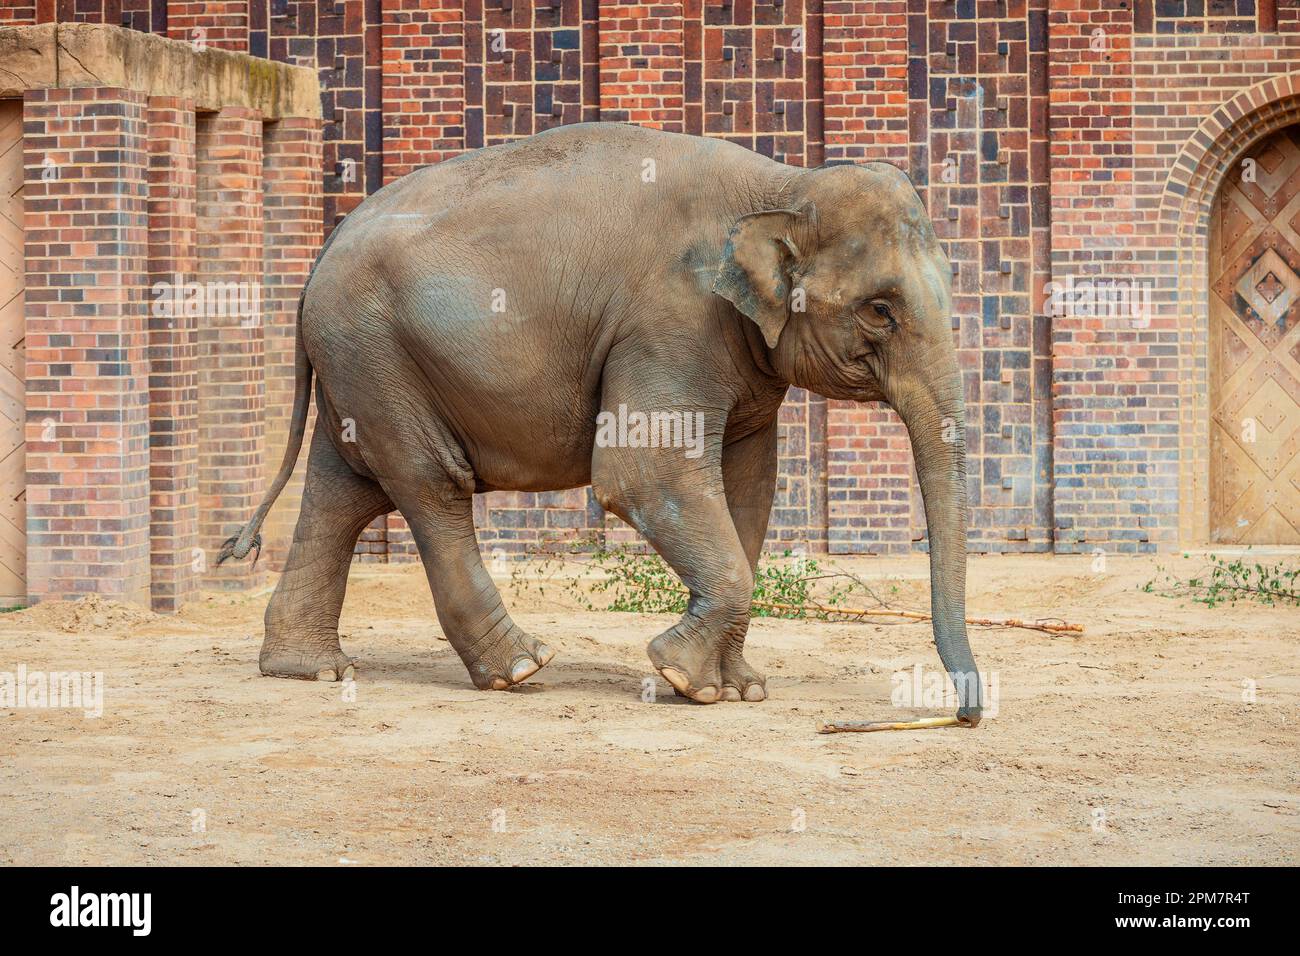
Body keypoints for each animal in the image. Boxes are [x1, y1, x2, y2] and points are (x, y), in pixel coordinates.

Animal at [221, 121, 984, 725]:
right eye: (881, 310)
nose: (965, 715)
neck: (782, 182)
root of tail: (324, 247)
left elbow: (748, 485)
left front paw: (733, 690)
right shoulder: (672, 322)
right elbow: (644, 474)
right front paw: (682, 677)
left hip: (358, 363)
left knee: (343, 492)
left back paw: (312, 669)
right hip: (375, 353)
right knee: (431, 484)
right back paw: (520, 668)